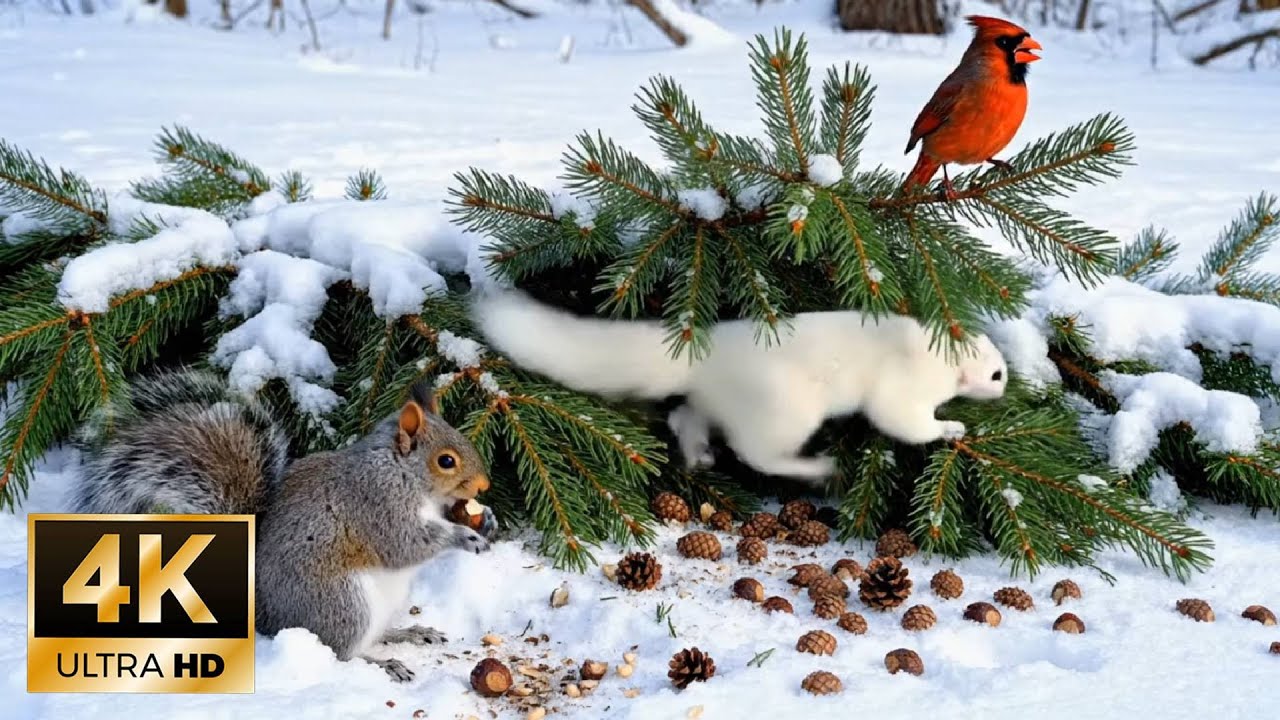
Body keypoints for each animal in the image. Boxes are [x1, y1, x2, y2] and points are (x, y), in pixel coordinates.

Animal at [73, 369, 495, 682]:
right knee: (341, 653)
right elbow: (405, 544)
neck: (401, 472)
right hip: (343, 602)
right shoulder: (374, 503)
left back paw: (409, 632)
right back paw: (383, 663)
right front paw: (464, 536)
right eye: (446, 461)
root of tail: (265, 615)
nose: (484, 485)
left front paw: (486, 518)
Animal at [473, 290, 1008, 483]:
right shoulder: (904, 386)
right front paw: (952, 427)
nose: (1006, 389)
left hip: (716, 401)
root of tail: (710, 350)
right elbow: (901, 418)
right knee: (757, 453)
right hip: (788, 408)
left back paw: (698, 455)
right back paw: (818, 466)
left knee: (685, 415)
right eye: (998, 373)